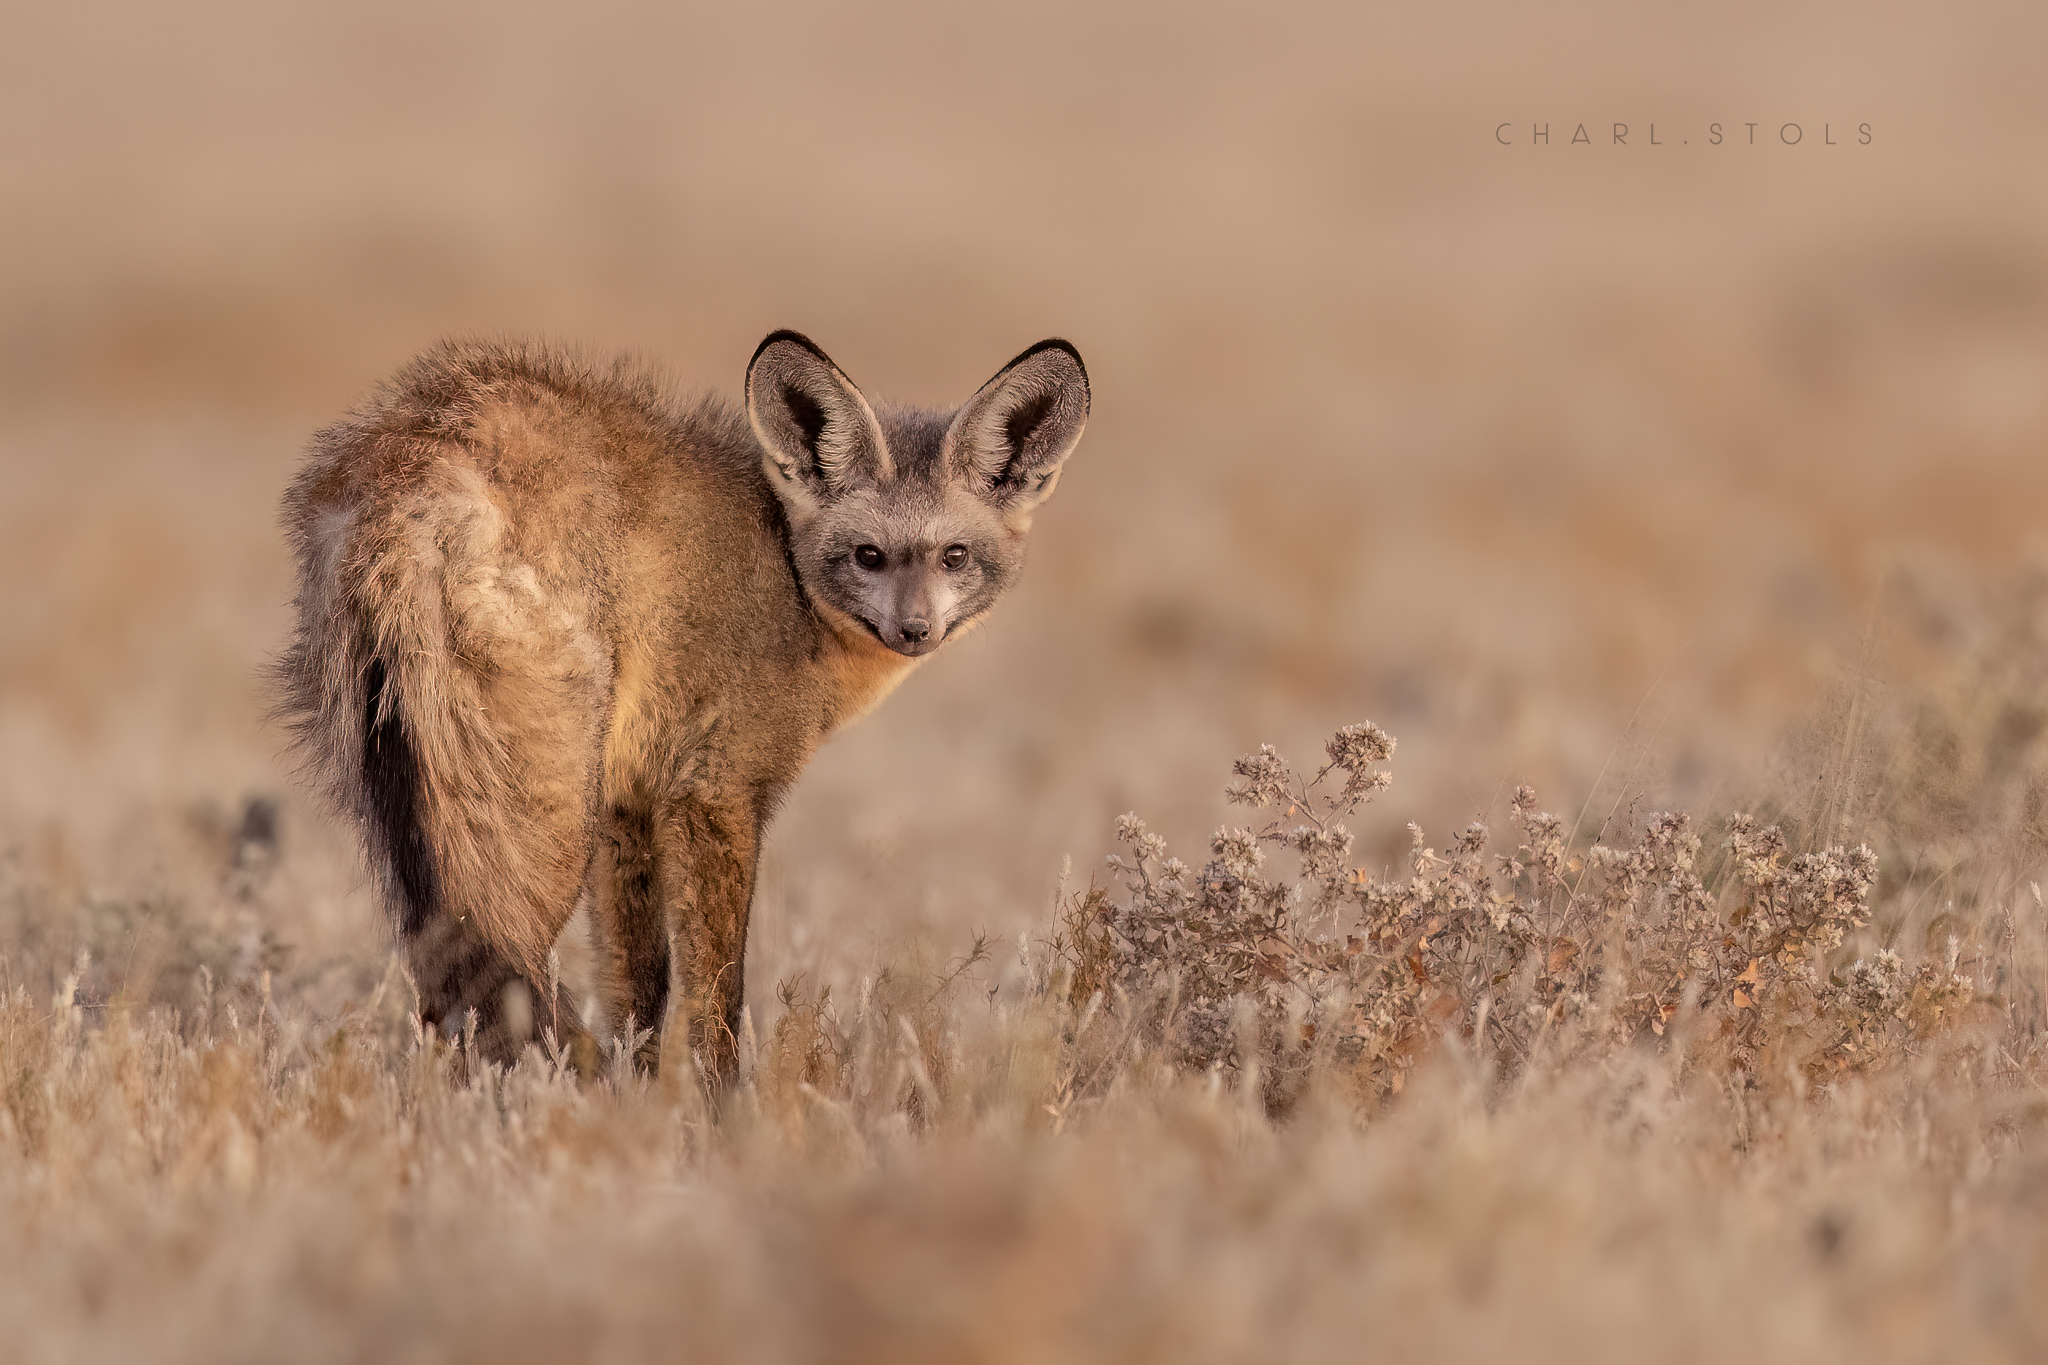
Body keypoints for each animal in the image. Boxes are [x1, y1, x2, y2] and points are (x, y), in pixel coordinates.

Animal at [275, 331, 1089, 1077]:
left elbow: (641, 1000)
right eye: (869, 556)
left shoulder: (629, 804)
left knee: (451, 985)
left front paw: (643, 1107)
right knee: (497, 983)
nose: (914, 630)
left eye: (955, 556)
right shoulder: (715, 793)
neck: (788, 582)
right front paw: (722, 1121)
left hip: (412, 793)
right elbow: (715, 1006)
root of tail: (418, 463)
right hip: (538, 826)